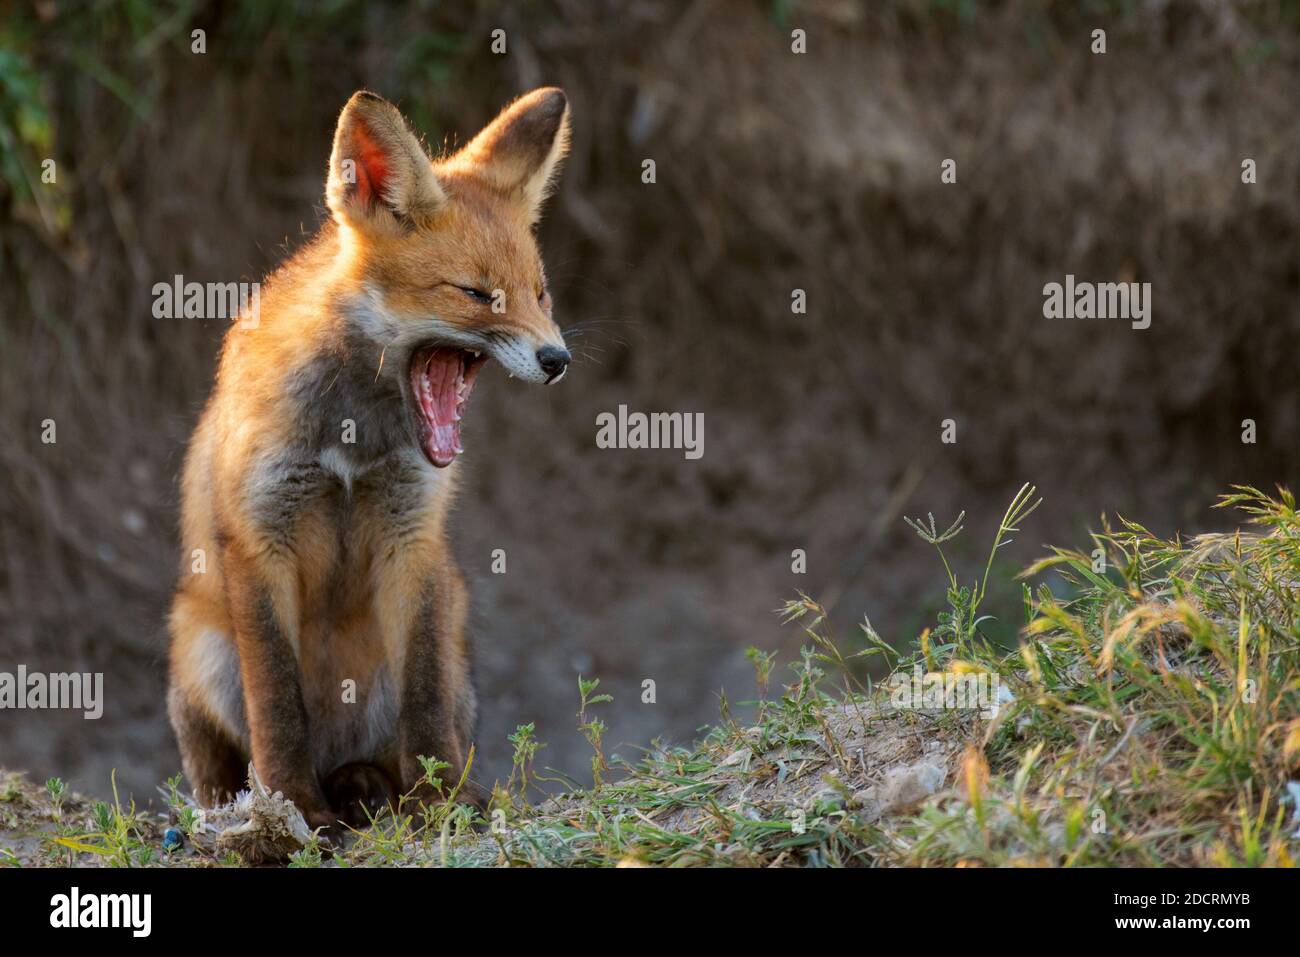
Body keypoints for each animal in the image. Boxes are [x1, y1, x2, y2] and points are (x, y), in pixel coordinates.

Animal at [166, 87, 572, 832]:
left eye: (541, 293)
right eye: (478, 294)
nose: (557, 359)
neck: (351, 440)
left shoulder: (413, 534)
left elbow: (425, 697)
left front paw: (441, 803)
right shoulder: (259, 535)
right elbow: (277, 705)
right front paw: (292, 812)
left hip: (452, 617)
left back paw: (374, 788)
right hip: (198, 643)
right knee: (226, 767)